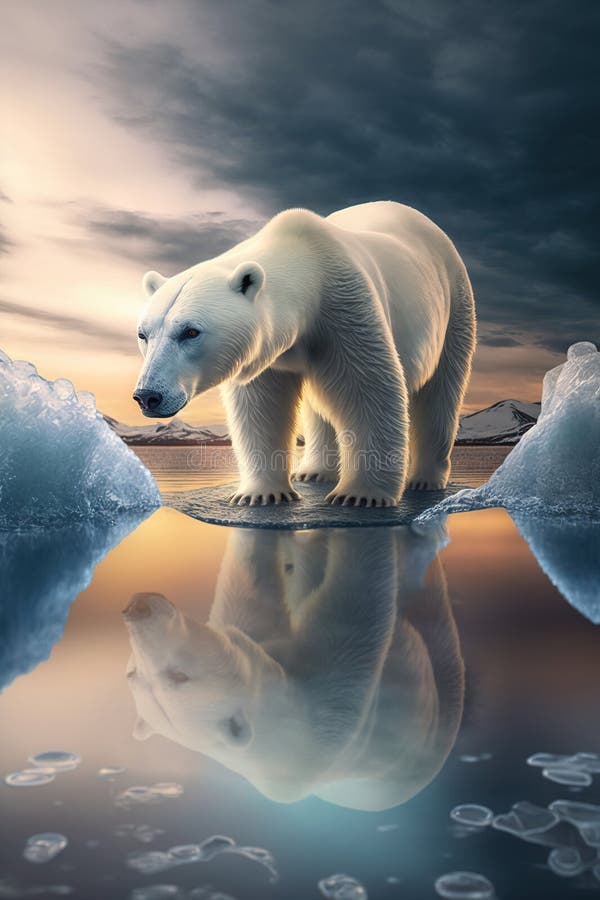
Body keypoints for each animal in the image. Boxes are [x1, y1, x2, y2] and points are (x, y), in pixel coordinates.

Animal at [123, 522, 465, 810]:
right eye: (178, 676)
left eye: (131, 674)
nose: (139, 608)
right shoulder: (328, 718)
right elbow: (356, 612)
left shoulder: (259, 643)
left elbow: (249, 588)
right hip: (442, 696)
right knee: (430, 612)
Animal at [133, 201, 476, 506]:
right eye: (143, 334)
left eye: (190, 331)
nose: (148, 396)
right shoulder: (266, 355)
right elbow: (261, 408)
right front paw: (261, 494)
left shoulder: (347, 311)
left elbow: (368, 392)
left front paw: (360, 495)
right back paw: (314, 471)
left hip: (454, 305)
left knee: (440, 394)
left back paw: (424, 479)